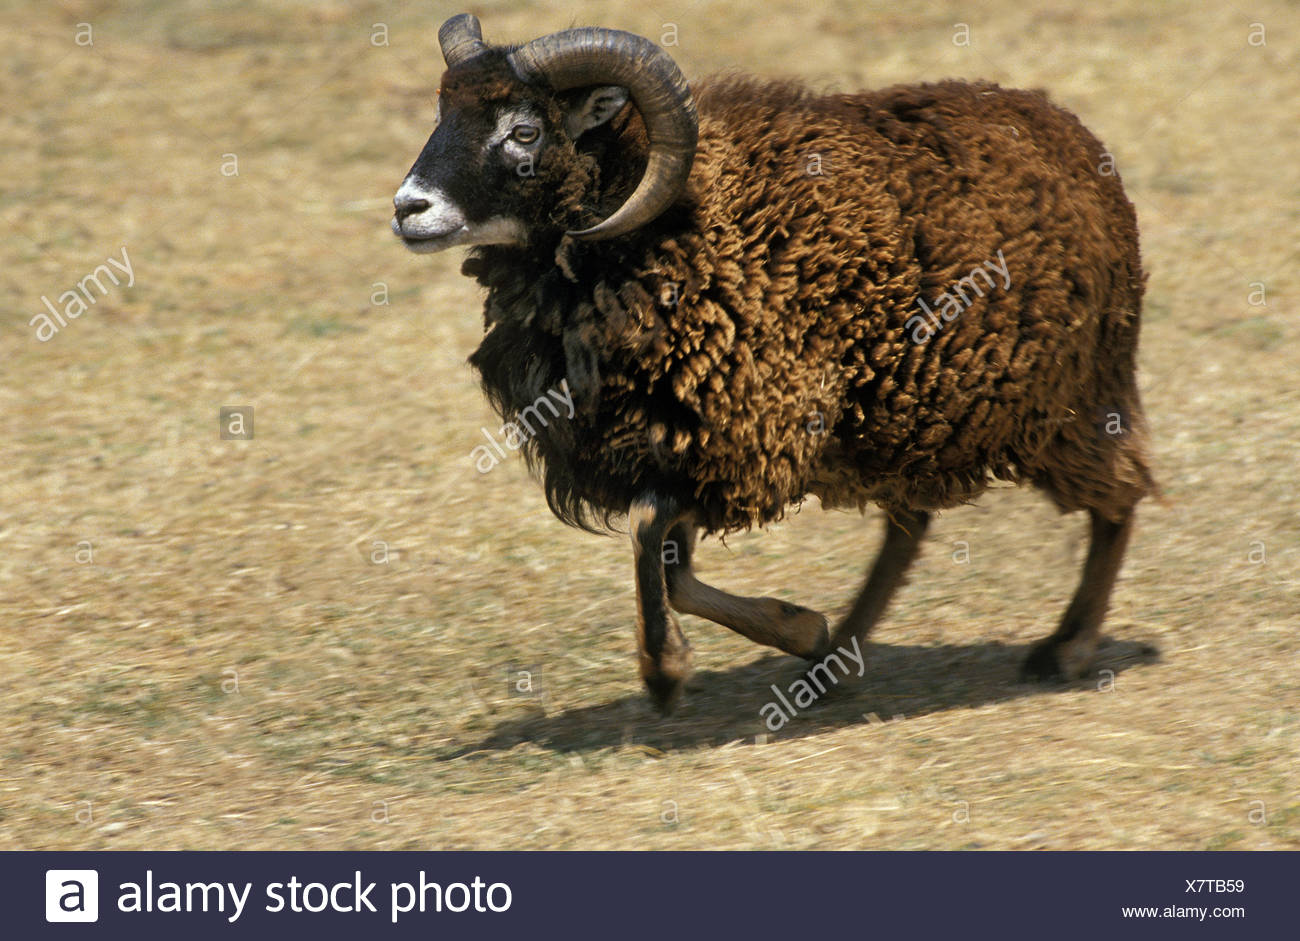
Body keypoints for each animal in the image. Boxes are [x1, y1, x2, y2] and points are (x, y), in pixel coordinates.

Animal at [391, 14, 1157, 713]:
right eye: (443, 113)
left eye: (525, 131)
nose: (407, 208)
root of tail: (1072, 134)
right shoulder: (673, 443)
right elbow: (670, 565)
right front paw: (799, 630)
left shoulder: (745, 437)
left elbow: (649, 539)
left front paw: (668, 673)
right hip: (908, 414)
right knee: (910, 528)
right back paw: (838, 655)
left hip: (1067, 399)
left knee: (1118, 498)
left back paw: (1067, 648)